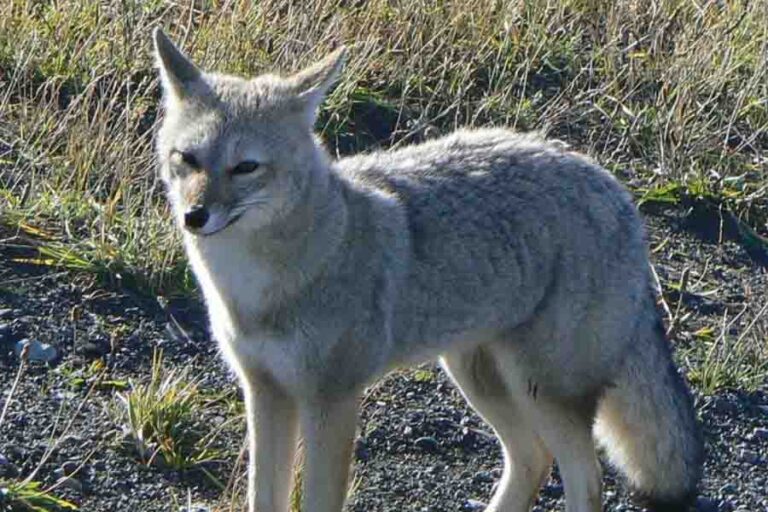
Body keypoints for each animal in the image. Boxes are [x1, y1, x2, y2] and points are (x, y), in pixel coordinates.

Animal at [152, 28, 703, 512]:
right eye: (188, 159)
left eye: (245, 167)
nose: (194, 216)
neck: (258, 289)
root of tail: (616, 190)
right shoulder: (264, 391)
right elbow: (264, 497)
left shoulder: (333, 400)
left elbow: (318, 499)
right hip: (477, 375)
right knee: (533, 459)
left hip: (541, 390)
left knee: (585, 481)